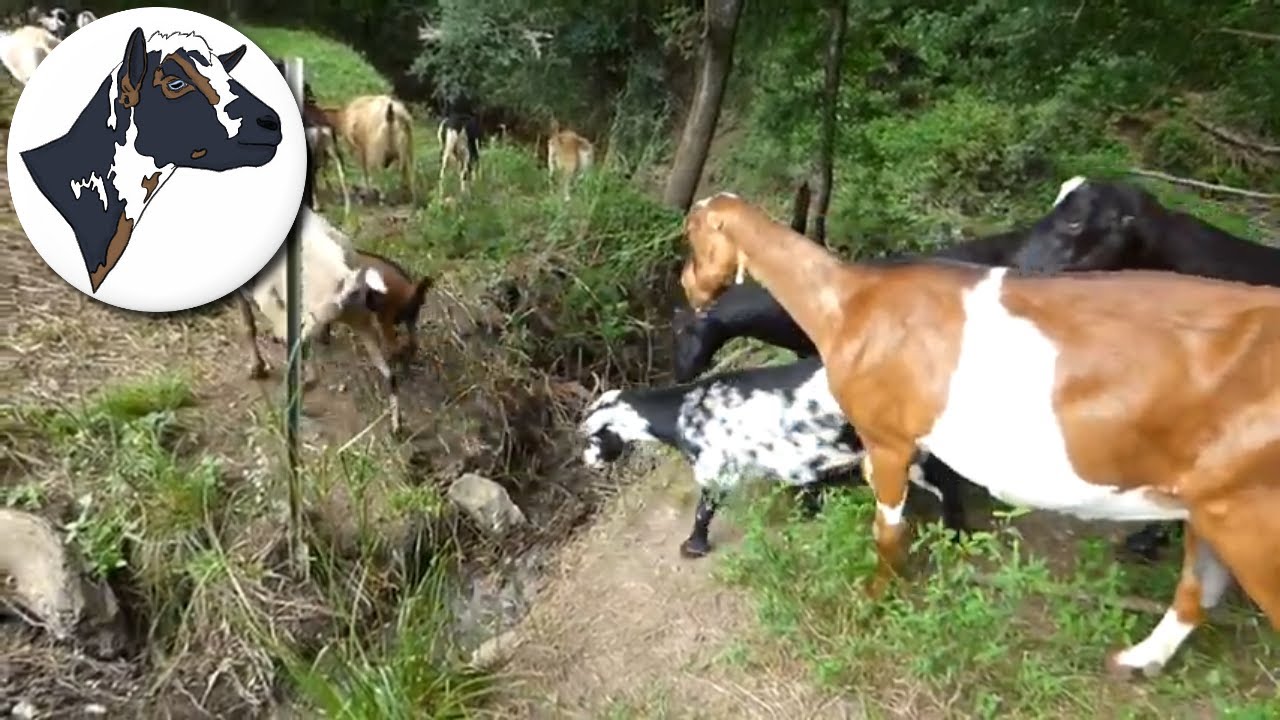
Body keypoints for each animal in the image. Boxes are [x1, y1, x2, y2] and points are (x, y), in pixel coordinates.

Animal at [237, 207, 432, 436]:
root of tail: (346, 277)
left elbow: (248, 326)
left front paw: (257, 368)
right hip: (362, 326)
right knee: (390, 375)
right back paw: (396, 426)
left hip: (301, 326)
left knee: (310, 376)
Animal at [579, 358, 968, 558]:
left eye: (590, 437)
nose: (586, 462)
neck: (682, 409)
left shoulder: (715, 471)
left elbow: (704, 510)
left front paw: (693, 546)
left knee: (948, 485)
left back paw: (953, 538)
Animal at [681, 190, 1280, 677]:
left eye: (690, 233)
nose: (690, 286)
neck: (849, 303)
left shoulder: (887, 438)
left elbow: (888, 530)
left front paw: (874, 598)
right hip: (1212, 502)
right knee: (1197, 588)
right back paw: (1137, 659)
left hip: (1253, 519)